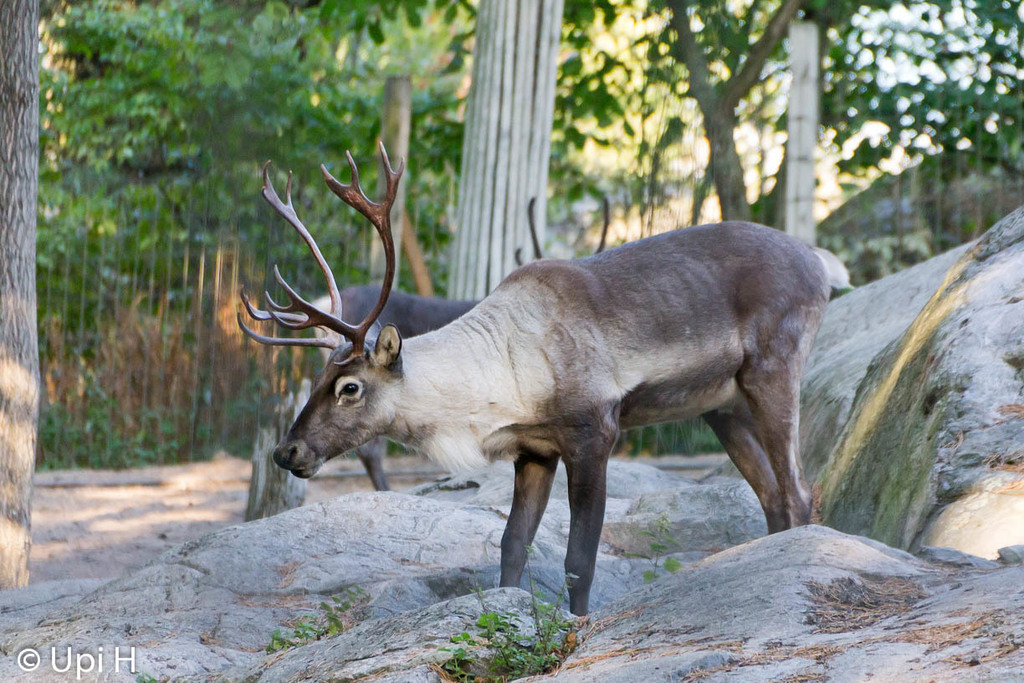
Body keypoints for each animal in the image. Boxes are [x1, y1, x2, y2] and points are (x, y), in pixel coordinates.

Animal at [239, 143, 849, 615]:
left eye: (350, 388)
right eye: (321, 376)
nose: (287, 452)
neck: (501, 378)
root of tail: (822, 262)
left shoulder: (594, 432)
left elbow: (580, 558)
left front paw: (576, 622)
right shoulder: (534, 449)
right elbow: (512, 544)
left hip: (774, 368)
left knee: (798, 490)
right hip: (721, 405)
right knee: (773, 497)